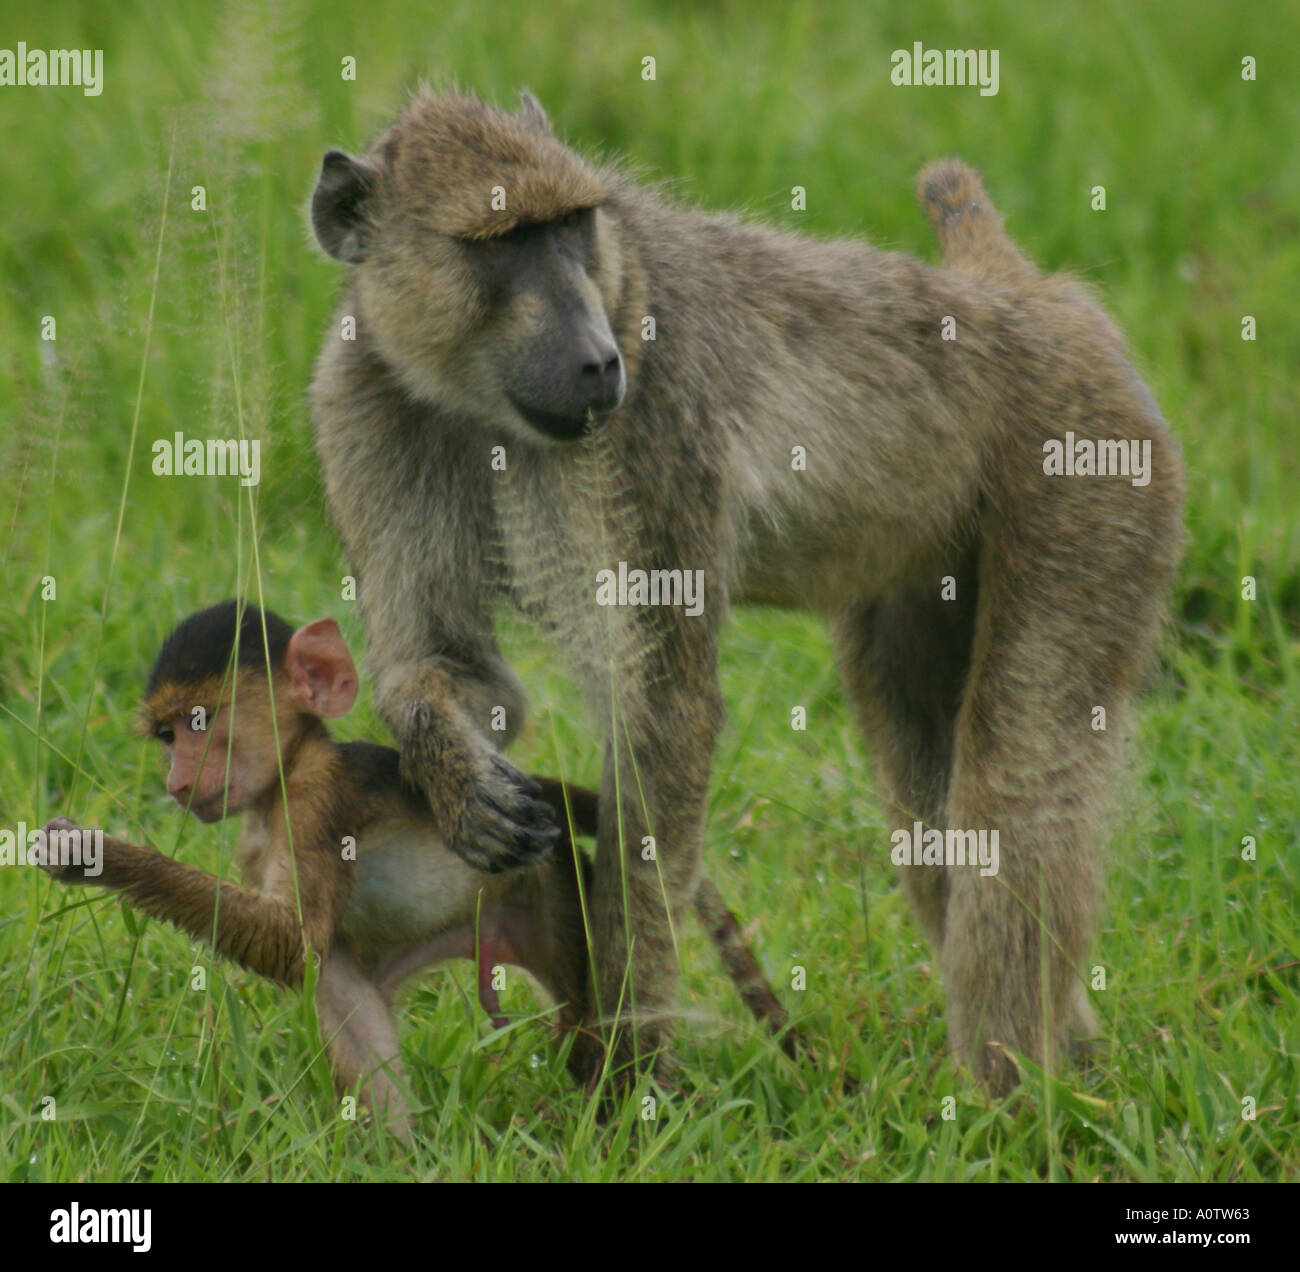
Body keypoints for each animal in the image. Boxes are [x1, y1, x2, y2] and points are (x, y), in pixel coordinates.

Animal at [39, 601, 803, 1140]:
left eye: (200, 723)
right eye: (168, 735)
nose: (174, 782)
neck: (280, 786)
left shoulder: (318, 805)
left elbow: (295, 944)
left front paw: (98, 854)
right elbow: (310, 963)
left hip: (548, 885)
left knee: (580, 1014)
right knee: (348, 988)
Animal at [307, 90, 1184, 1094]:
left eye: (568, 229)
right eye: (503, 241)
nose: (598, 362)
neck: (470, 397)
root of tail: (1028, 297)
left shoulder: (649, 429)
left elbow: (664, 714)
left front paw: (629, 1073)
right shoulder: (364, 396)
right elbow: (457, 667)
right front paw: (458, 781)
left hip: (1093, 474)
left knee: (1019, 771)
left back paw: (1007, 1093)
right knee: (931, 790)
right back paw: (1072, 1061)